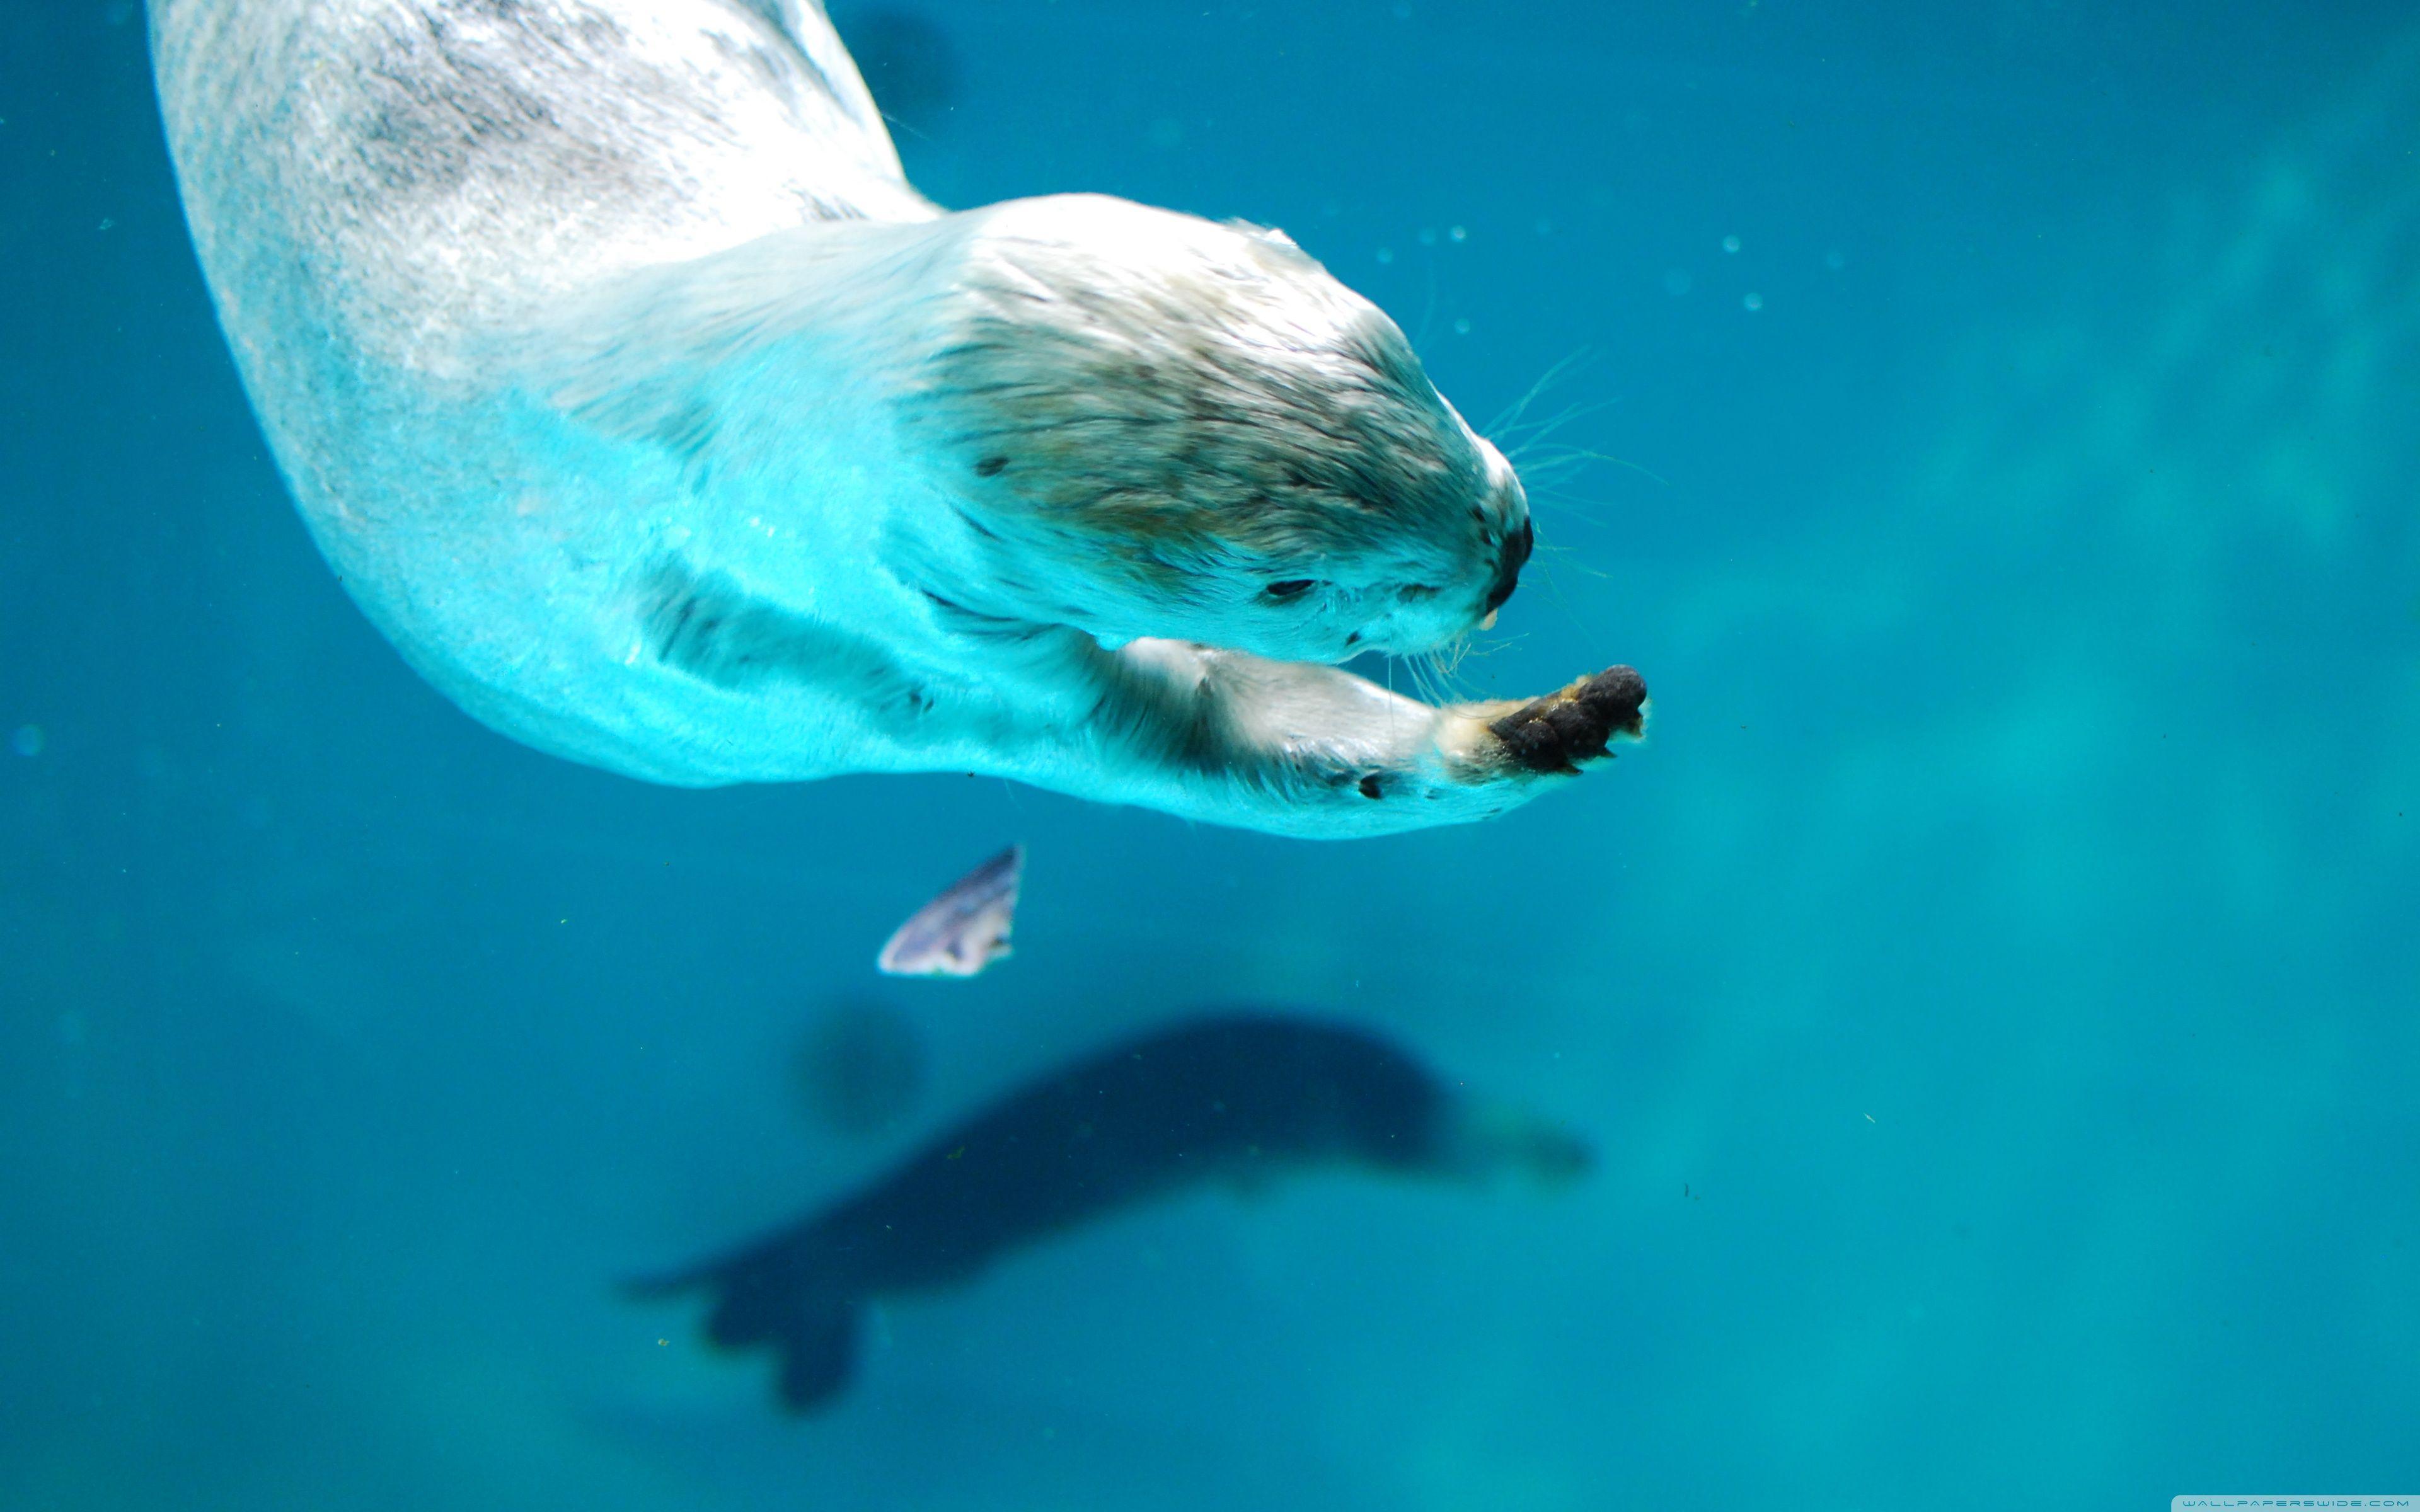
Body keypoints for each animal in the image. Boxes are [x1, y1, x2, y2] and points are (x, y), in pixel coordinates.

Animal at [149, 0, 1645, 837]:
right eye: (1285, 584)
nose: (1507, 548)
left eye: (1394, 345)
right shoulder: (868, 646)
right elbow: (1205, 749)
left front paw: (1559, 718)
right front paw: (1538, 728)